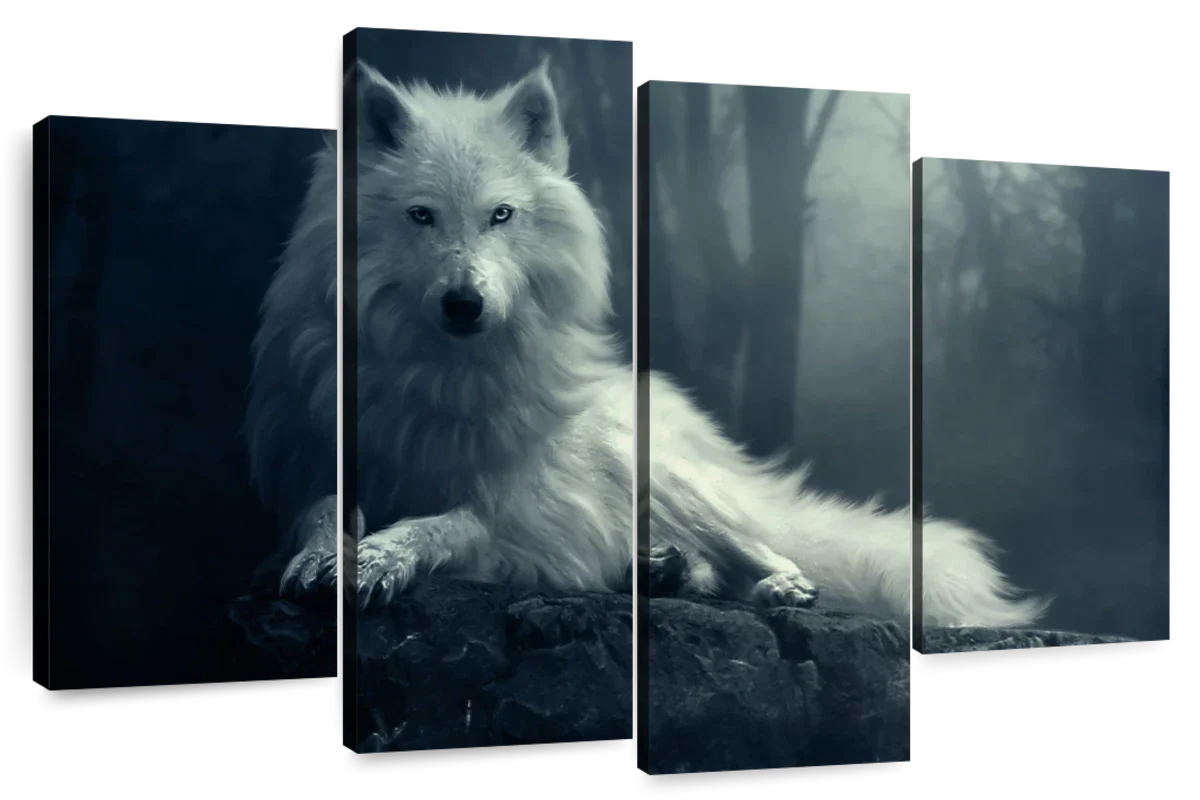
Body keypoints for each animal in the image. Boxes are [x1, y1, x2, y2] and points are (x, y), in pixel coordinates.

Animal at [244, 59, 1050, 629]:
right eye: (421, 216)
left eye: (502, 215)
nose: (465, 304)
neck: (440, 375)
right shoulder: (318, 463)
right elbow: (320, 510)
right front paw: (325, 556)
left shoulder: (515, 513)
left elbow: (443, 524)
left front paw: (377, 557)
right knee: (690, 562)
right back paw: (661, 569)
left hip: (659, 471)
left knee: (758, 546)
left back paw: (773, 581)